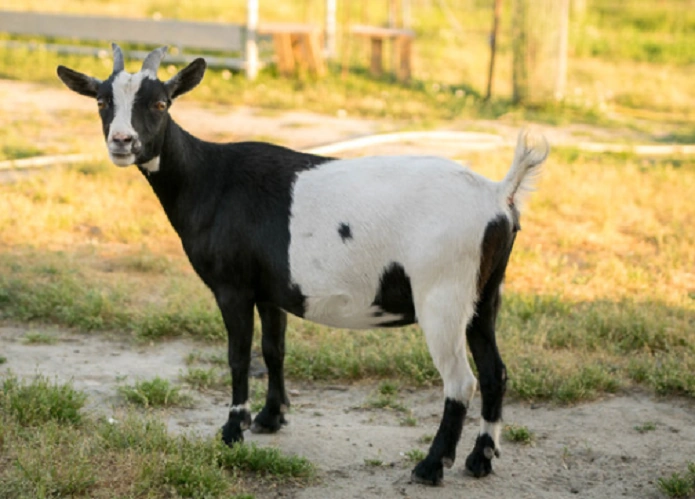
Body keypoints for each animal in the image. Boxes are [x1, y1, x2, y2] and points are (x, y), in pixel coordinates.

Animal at [56, 45, 549, 486]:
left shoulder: (233, 287)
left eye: (160, 103)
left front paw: (232, 429)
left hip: (443, 296)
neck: (210, 178)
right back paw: (480, 460)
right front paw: (271, 417)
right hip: (485, 295)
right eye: (102, 101)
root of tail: (499, 194)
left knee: (461, 381)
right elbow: (274, 349)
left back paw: (431, 467)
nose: (123, 142)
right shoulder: (270, 289)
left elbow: (239, 355)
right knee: (494, 372)